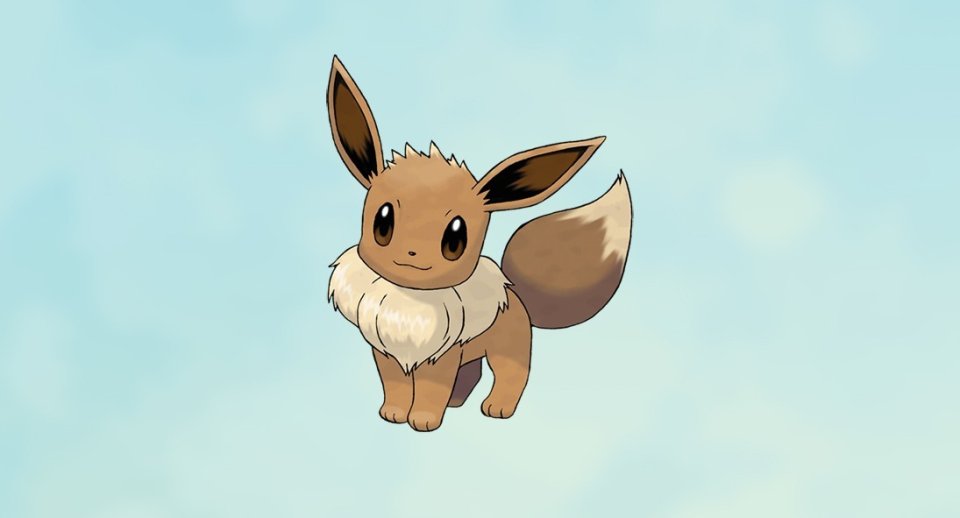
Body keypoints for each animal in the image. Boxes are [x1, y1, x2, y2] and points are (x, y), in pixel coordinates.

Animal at [325, 55, 633, 432]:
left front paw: (424, 419)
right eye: (382, 223)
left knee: (512, 375)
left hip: (509, 349)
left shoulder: (440, 357)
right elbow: (394, 383)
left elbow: (431, 387)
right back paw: (456, 404)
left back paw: (497, 408)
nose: (412, 253)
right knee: (471, 374)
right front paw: (394, 413)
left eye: (455, 240)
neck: (410, 299)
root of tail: (517, 295)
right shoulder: (386, 352)